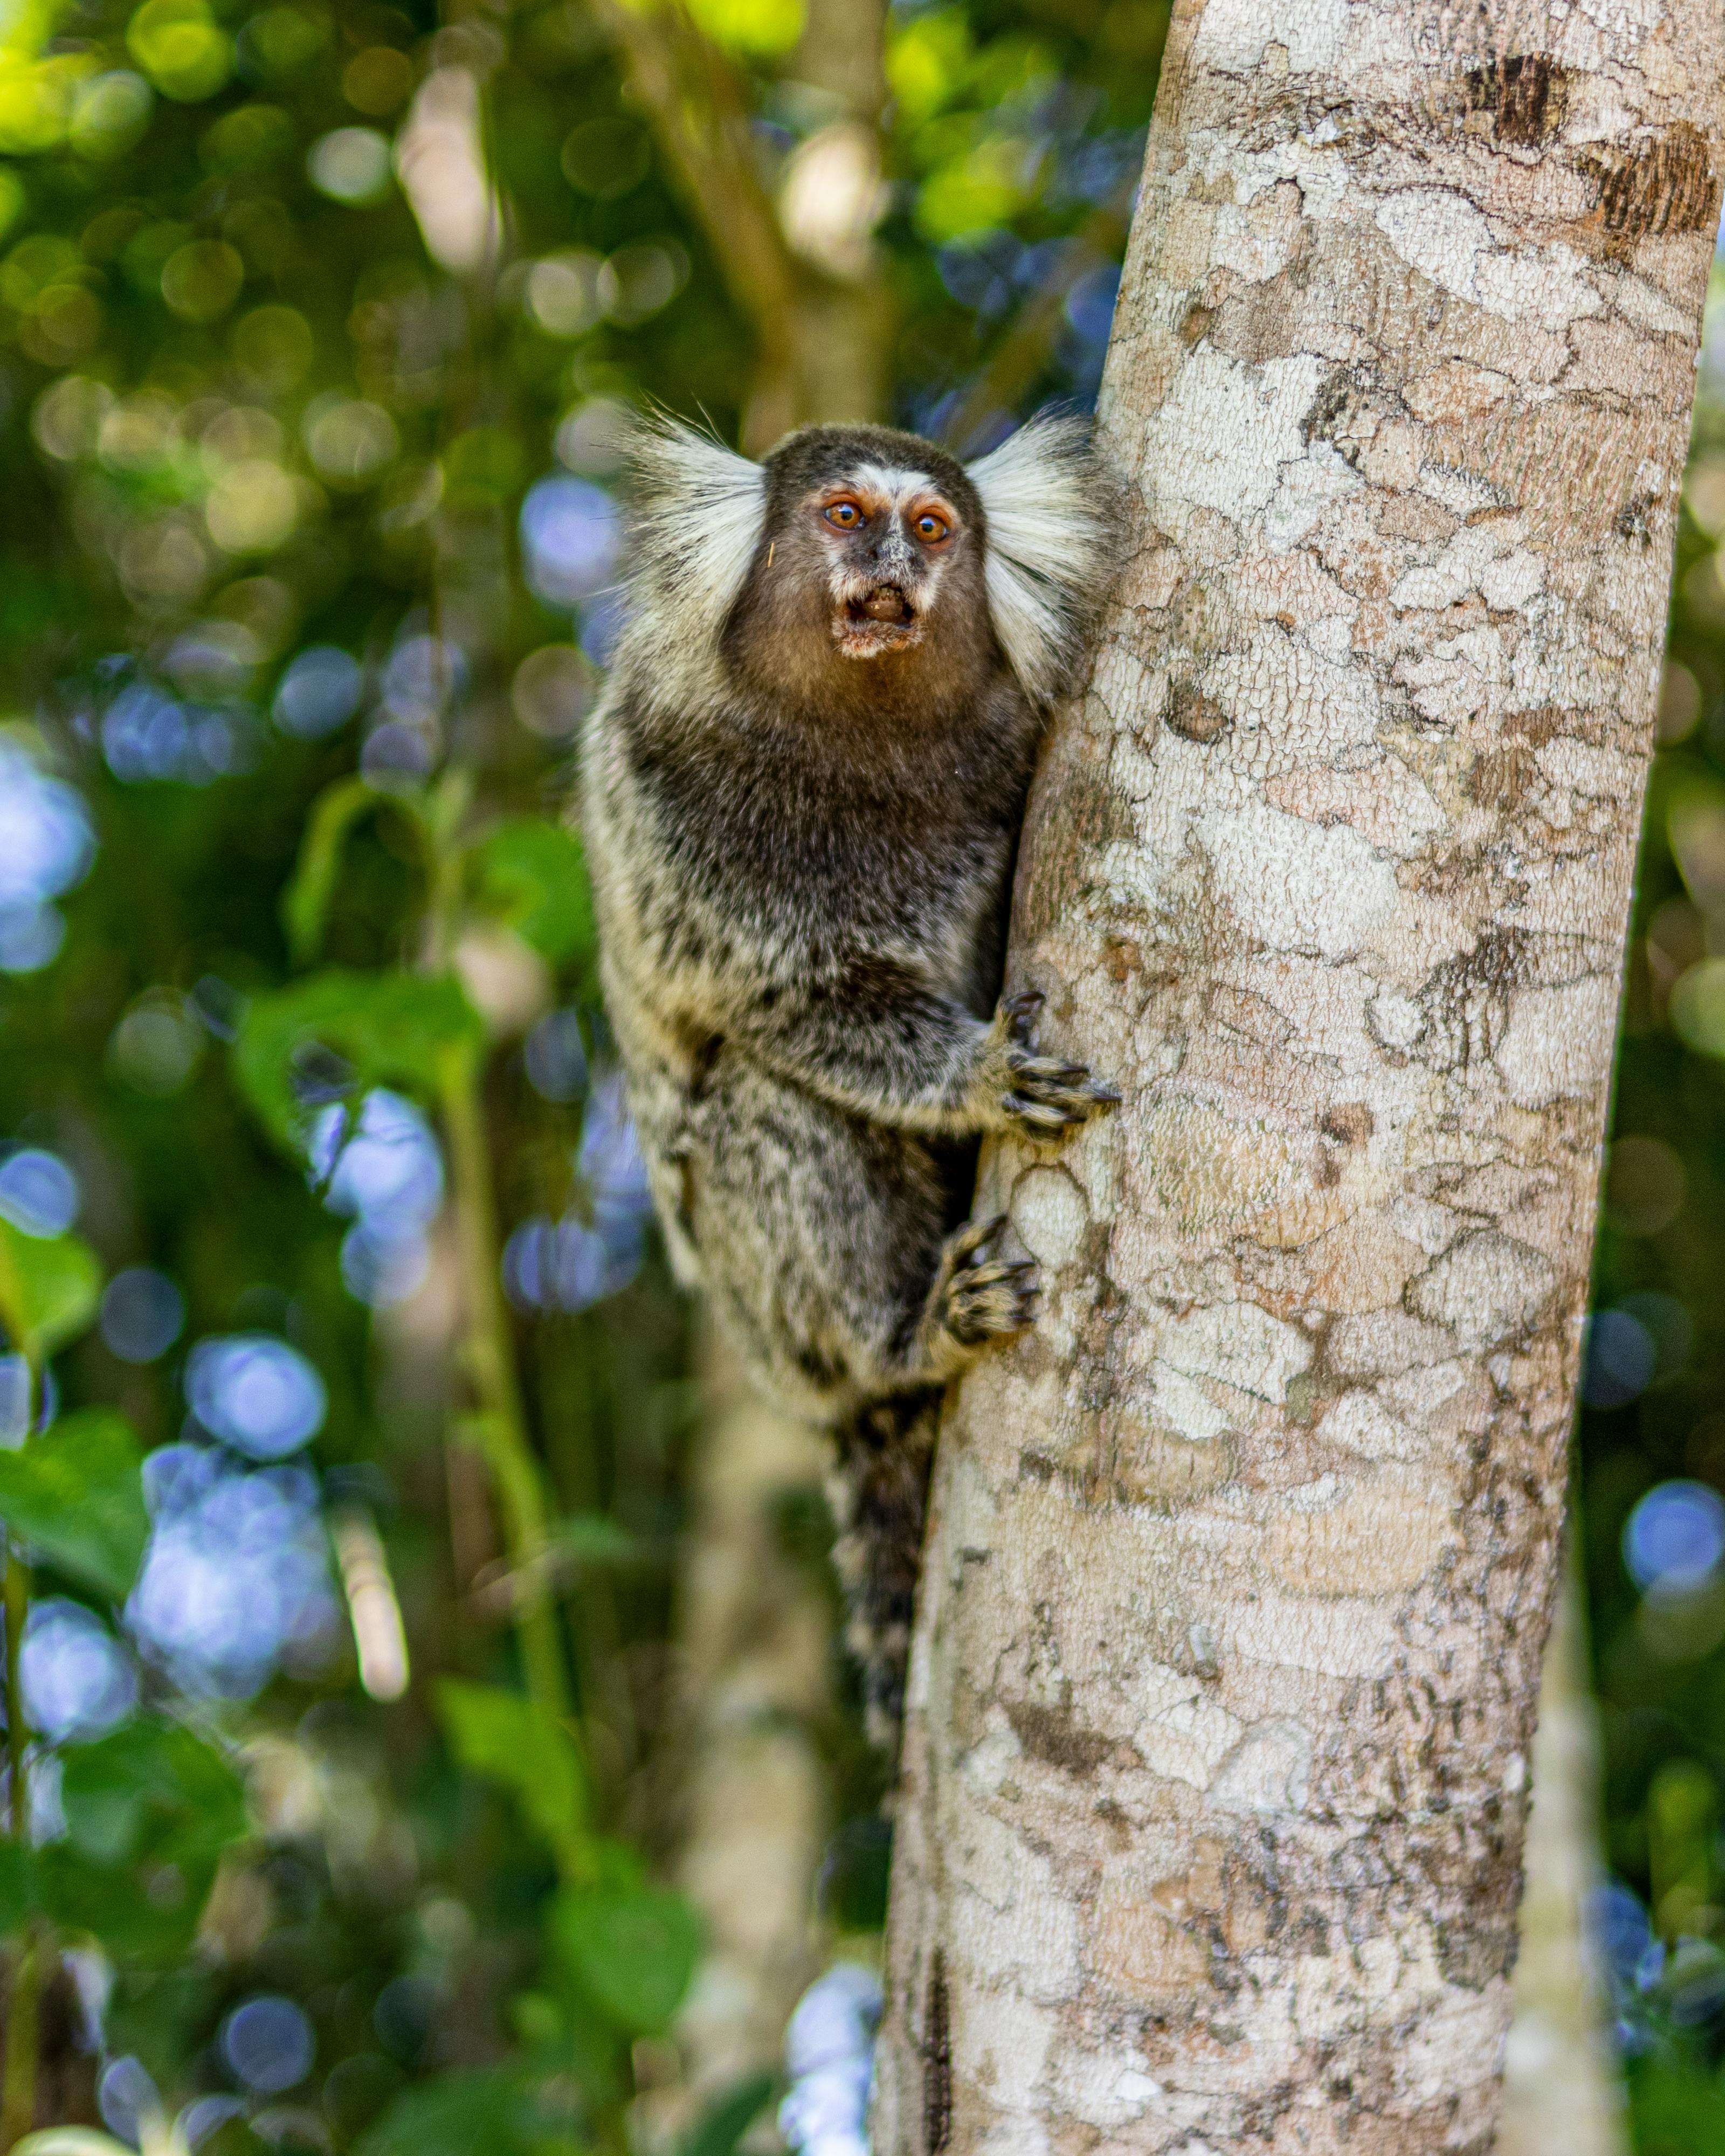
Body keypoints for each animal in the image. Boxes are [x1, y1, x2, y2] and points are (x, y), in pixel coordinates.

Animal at [579, 411, 1120, 1741]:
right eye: (841, 515)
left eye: (930, 526)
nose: (891, 564)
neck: (860, 753)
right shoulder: (671, 800)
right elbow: (785, 1009)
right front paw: (976, 1075)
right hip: (765, 1317)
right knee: (765, 1108)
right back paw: (906, 1342)